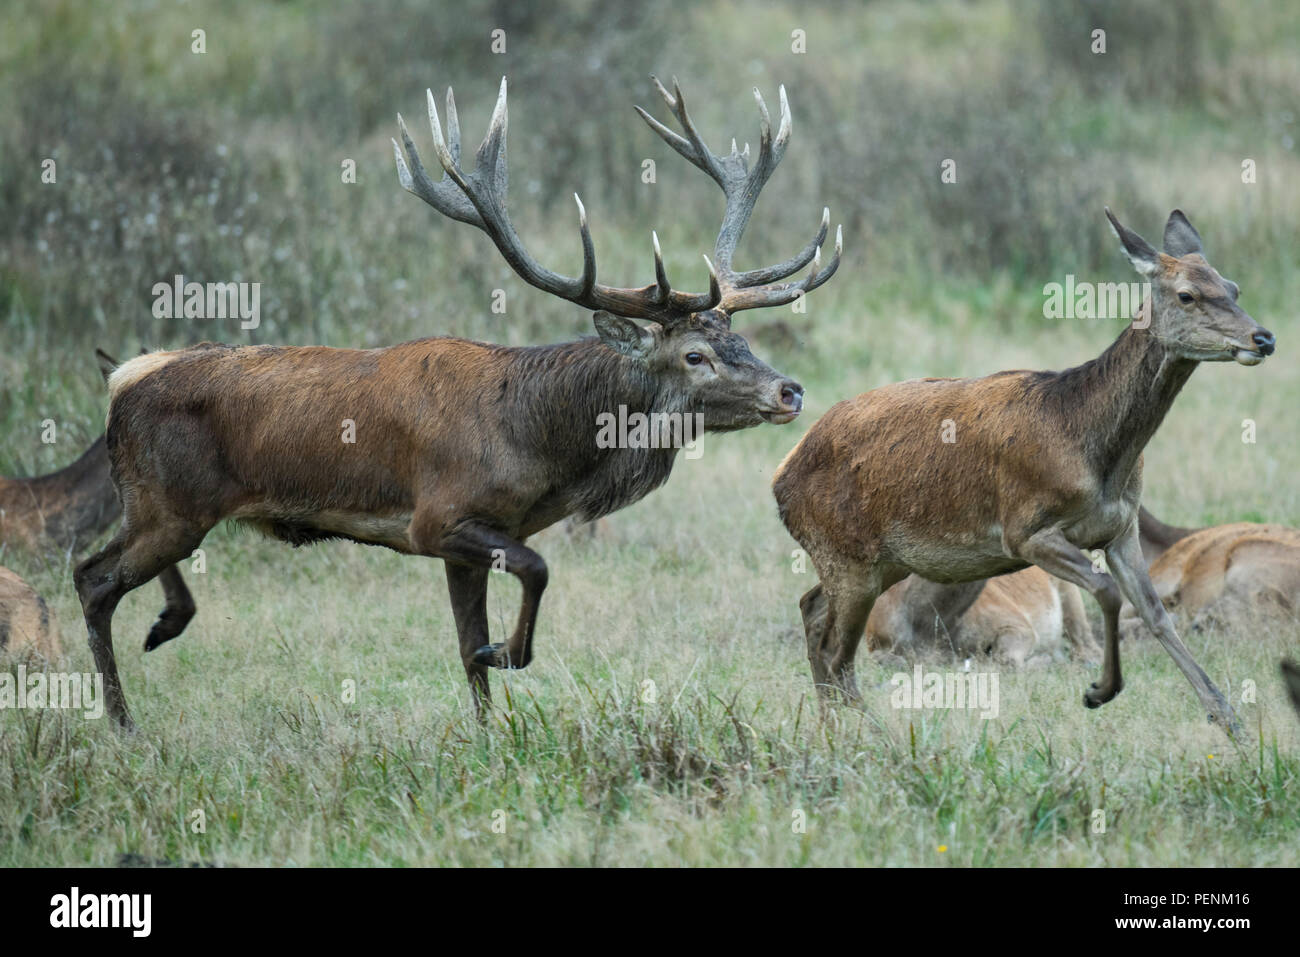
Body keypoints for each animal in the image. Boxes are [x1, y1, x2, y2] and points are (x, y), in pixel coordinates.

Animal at [73, 76, 842, 730]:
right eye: (695, 355)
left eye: (738, 336)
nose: (789, 390)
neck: (538, 446)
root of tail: (122, 383)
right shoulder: (438, 518)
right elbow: (533, 578)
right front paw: (504, 653)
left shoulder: (468, 540)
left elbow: (465, 646)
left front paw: (487, 731)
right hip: (169, 504)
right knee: (91, 578)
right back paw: (122, 720)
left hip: (165, 508)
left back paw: (165, 625)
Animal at [773, 208, 1274, 733]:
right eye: (1187, 294)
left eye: (1233, 287)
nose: (1264, 338)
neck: (1099, 456)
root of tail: (780, 478)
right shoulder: (1025, 529)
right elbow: (1106, 591)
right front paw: (1100, 690)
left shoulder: (1121, 528)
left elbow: (1157, 612)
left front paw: (1230, 720)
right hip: (846, 555)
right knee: (836, 650)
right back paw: (863, 733)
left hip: (880, 562)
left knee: (812, 612)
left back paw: (837, 728)